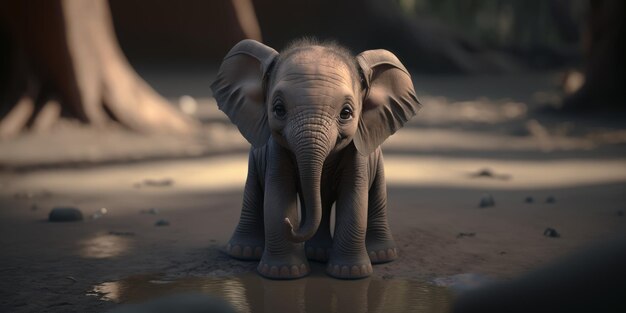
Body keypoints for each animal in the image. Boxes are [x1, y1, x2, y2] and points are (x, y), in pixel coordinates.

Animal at [210, 37, 420, 280]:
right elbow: (278, 194)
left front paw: (349, 274)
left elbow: (354, 199)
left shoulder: (357, 153)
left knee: (372, 196)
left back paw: (379, 256)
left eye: (346, 113)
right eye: (278, 109)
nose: (290, 225)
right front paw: (284, 273)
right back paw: (245, 252)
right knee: (256, 192)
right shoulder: (275, 151)